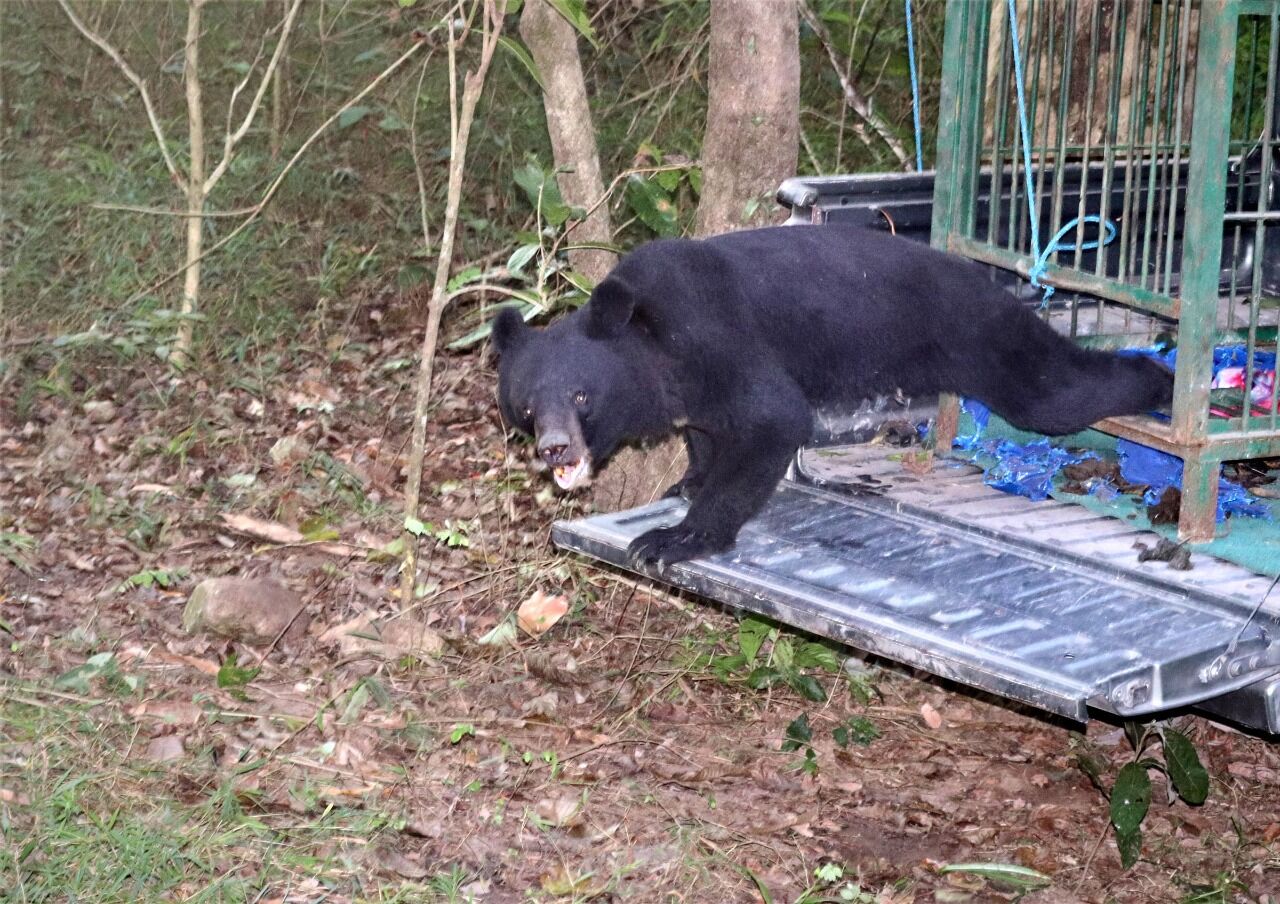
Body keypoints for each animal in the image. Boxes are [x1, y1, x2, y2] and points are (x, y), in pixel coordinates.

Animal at [492, 223, 1174, 567]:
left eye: (581, 396)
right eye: (526, 407)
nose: (555, 449)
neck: (656, 344)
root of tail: (992, 283)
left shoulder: (718, 339)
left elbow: (773, 419)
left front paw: (676, 538)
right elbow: (708, 434)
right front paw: (689, 479)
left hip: (981, 334)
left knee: (1055, 391)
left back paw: (1161, 377)